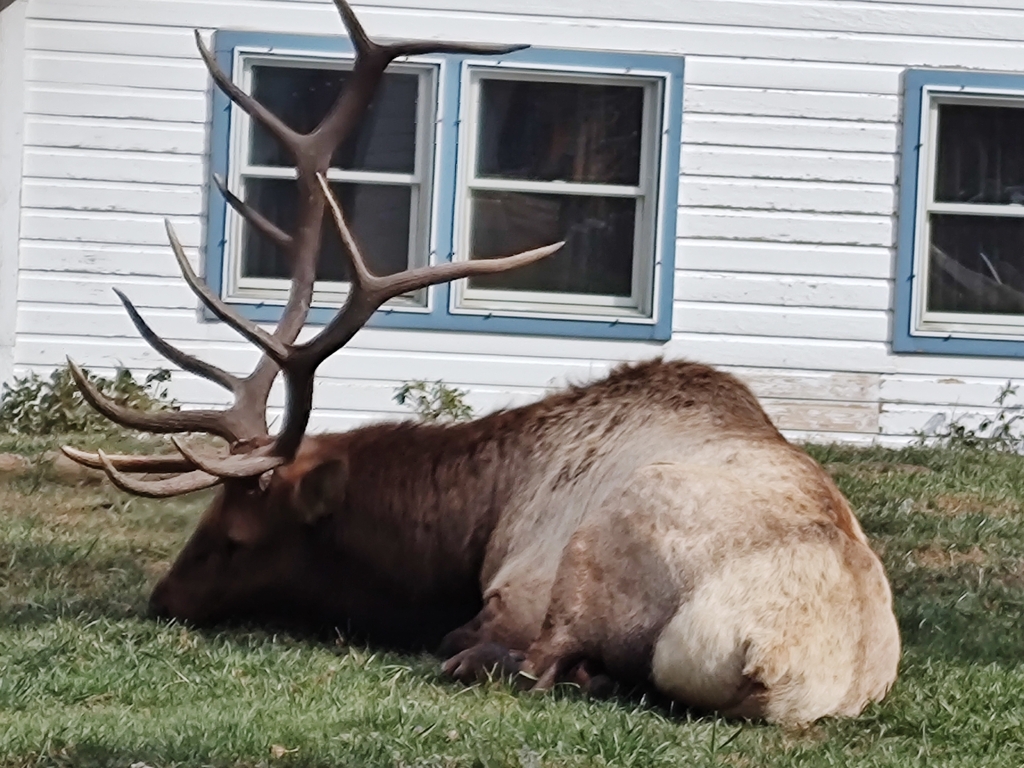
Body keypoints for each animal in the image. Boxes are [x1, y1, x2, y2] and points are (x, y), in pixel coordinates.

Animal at [60, 0, 900, 727]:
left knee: (533, 666)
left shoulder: (517, 583)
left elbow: (485, 644)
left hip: (596, 552)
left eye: (233, 536)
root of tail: (782, 666)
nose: (162, 598)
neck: (473, 519)